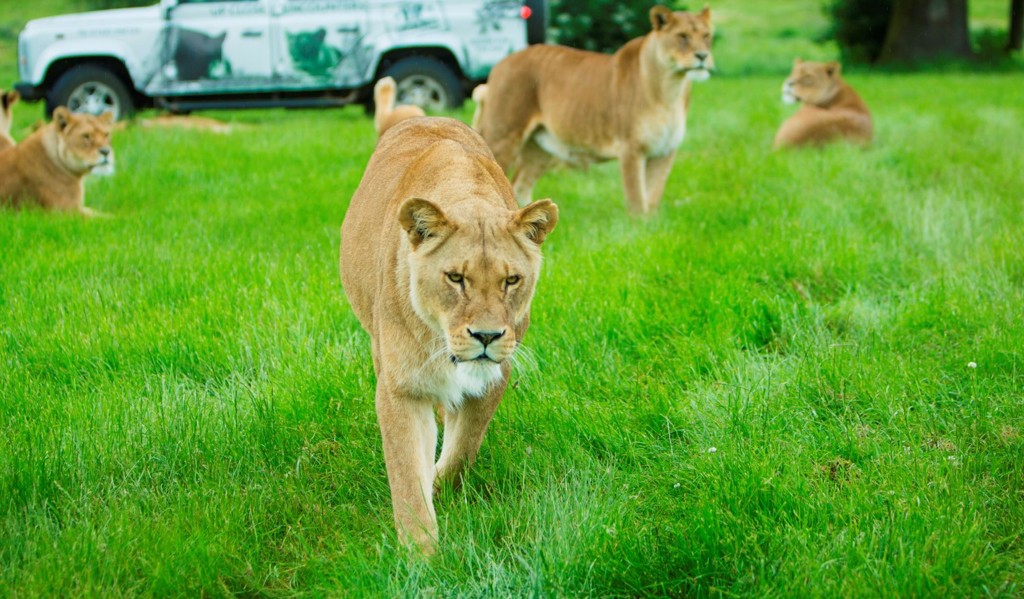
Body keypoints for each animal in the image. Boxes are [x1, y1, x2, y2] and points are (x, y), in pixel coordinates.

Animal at [340, 117, 558, 553]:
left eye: (511, 280)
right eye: (456, 278)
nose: (487, 336)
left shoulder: (495, 376)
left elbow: (464, 448)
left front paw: (440, 485)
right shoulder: (401, 387)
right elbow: (408, 476)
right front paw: (421, 556)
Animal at [474, 5, 714, 214]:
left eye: (706, 36)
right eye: (683, 36)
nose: (702, 56)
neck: (671, 87)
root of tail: (500, 64)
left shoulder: (665, 151)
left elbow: (653, 198)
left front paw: (652, 224)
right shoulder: (631, 149)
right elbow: (637, 199)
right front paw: (640, 228)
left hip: (539, 149)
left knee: (520, 187)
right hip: (503, 137)